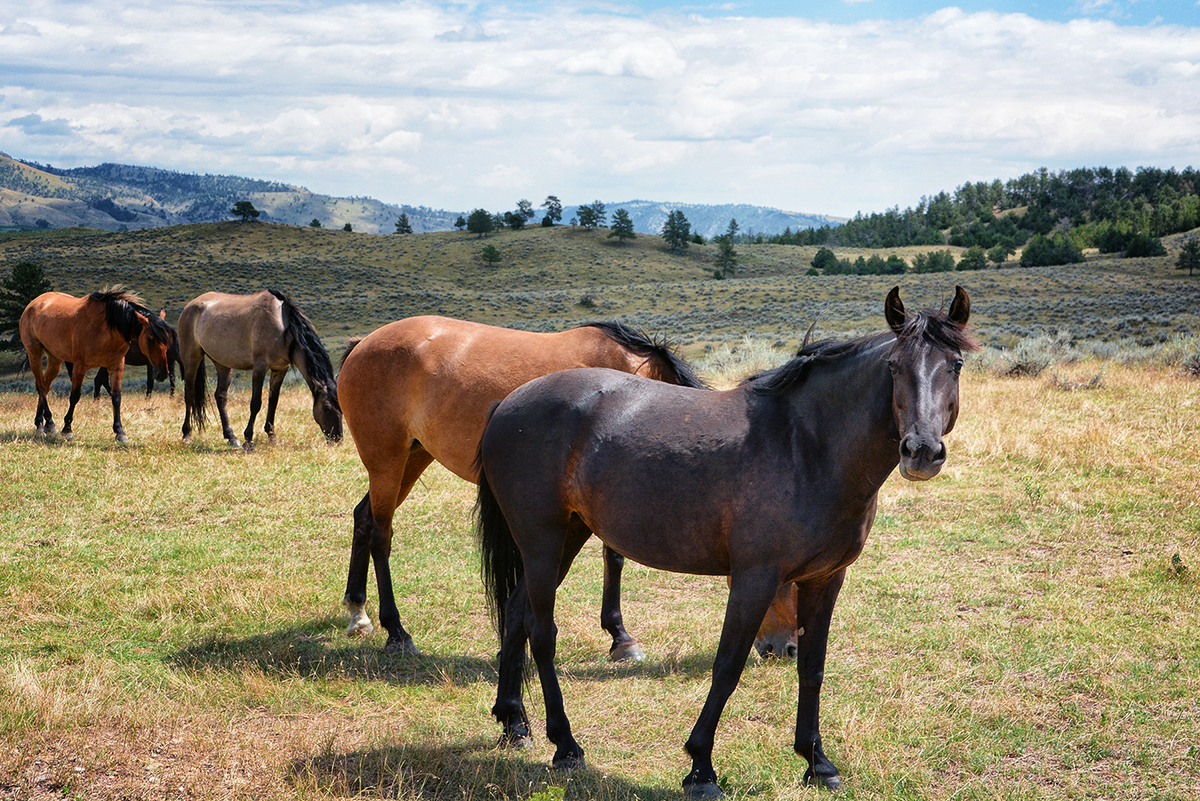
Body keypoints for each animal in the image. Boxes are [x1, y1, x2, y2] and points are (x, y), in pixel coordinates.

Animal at [19, 288, 174, 442]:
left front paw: (119, 431)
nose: (162, 373)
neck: (105, 328)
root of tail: (34, 303)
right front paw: (67, 429)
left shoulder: (116, 366)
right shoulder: (80, 367)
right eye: (149, 338)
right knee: (41, 385)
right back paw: (50, 423)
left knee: (45, 386)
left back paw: (41, 424)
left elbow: (116, 397)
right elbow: (75, 396)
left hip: (55, 358)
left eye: (167, 338)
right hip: (34, 353)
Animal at [178, 289, 341, 449]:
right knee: (189, 394)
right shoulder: (260, 367)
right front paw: (248, 440)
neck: (282, 325)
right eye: (327, 407)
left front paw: (272, 436)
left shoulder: (280, 368)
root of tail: (190, 306)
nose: (337, 438)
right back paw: (187, 435)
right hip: (191, 359)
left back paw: (231, 437)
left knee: (221, 396)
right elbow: (256, 403)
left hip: (222, 363)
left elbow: (273, 401)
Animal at [336, 315, 716, 659]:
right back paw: (396, 631)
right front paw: (619, 636)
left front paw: (618, 635)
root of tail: (363, 343)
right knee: (381, 535)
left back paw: (358, 611)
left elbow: (615, 555)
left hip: (412, 458)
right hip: (387, 462)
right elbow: (613, 555)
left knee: (363, 518)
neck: (637, 390)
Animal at [475, 286, 975, 797]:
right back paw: (565, 745)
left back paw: (514, 724)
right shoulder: (754, 578)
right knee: (541, 632)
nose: (921, 451)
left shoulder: (825, 579)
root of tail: (509, 403)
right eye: (894, 366)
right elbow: (728, 665)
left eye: (955, 364)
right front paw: (701, 769)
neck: (806, 447)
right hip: (541, 540)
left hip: (567, 536)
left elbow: (812, 667)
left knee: (515, 615)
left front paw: (817, 762)